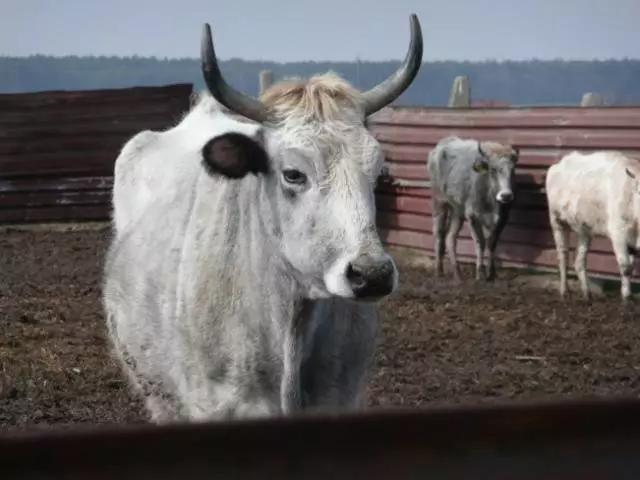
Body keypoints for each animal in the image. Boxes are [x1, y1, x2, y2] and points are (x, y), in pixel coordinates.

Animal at [428, 135, 516, 282]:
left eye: (513, 170)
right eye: (492, 170)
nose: (506, 195)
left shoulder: (502, 218)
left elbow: (492, 242)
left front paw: (491, 273)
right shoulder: (472, 216)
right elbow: (480, 242)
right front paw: (480, 273)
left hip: (457, 211)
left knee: (450, 237)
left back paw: (457, 274)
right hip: (439, 203)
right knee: (439, 234)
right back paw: (438, 271)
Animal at [544, 150, 640, 300]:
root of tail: (560, 163)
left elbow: (631, 265)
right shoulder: (618, 233)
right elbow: (625, 267)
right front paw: (625, 298)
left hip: (584, 228)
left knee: (579, 261)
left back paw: (586, 293)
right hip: (557, 221)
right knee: (562, 255)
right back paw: (564, 291)